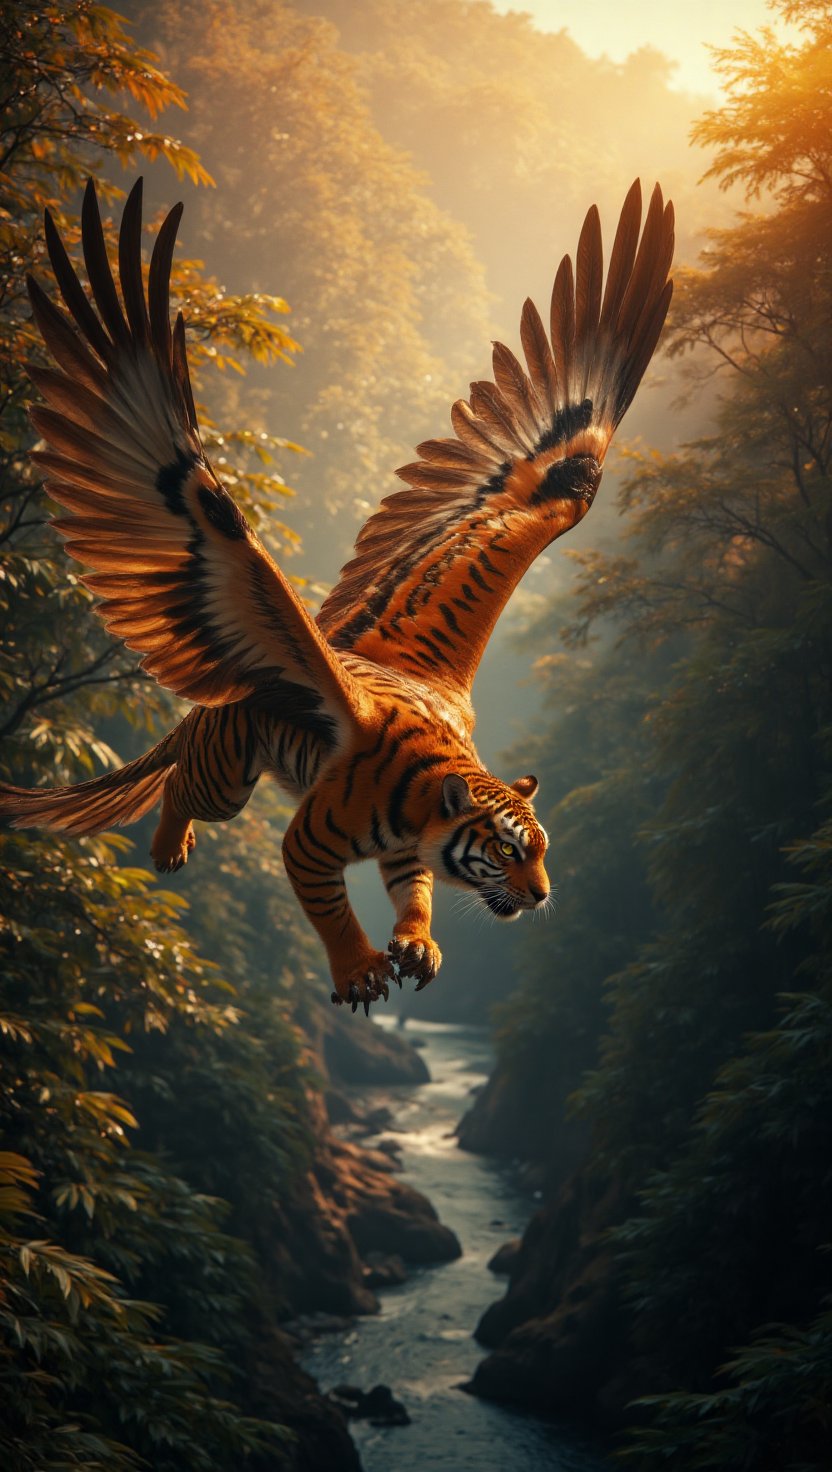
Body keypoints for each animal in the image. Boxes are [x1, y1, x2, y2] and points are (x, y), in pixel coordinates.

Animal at [0, 177, 673, 1012]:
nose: (544, 894)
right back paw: (167, 845)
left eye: (541, 848)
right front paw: (358, 971)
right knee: (184, 787)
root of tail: (207, 707)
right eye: (511, 850)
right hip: (227, 769)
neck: (423, 804)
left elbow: (414, 891)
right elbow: (331, 911)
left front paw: (417, 945)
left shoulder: (406, 852)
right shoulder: (309, 842)